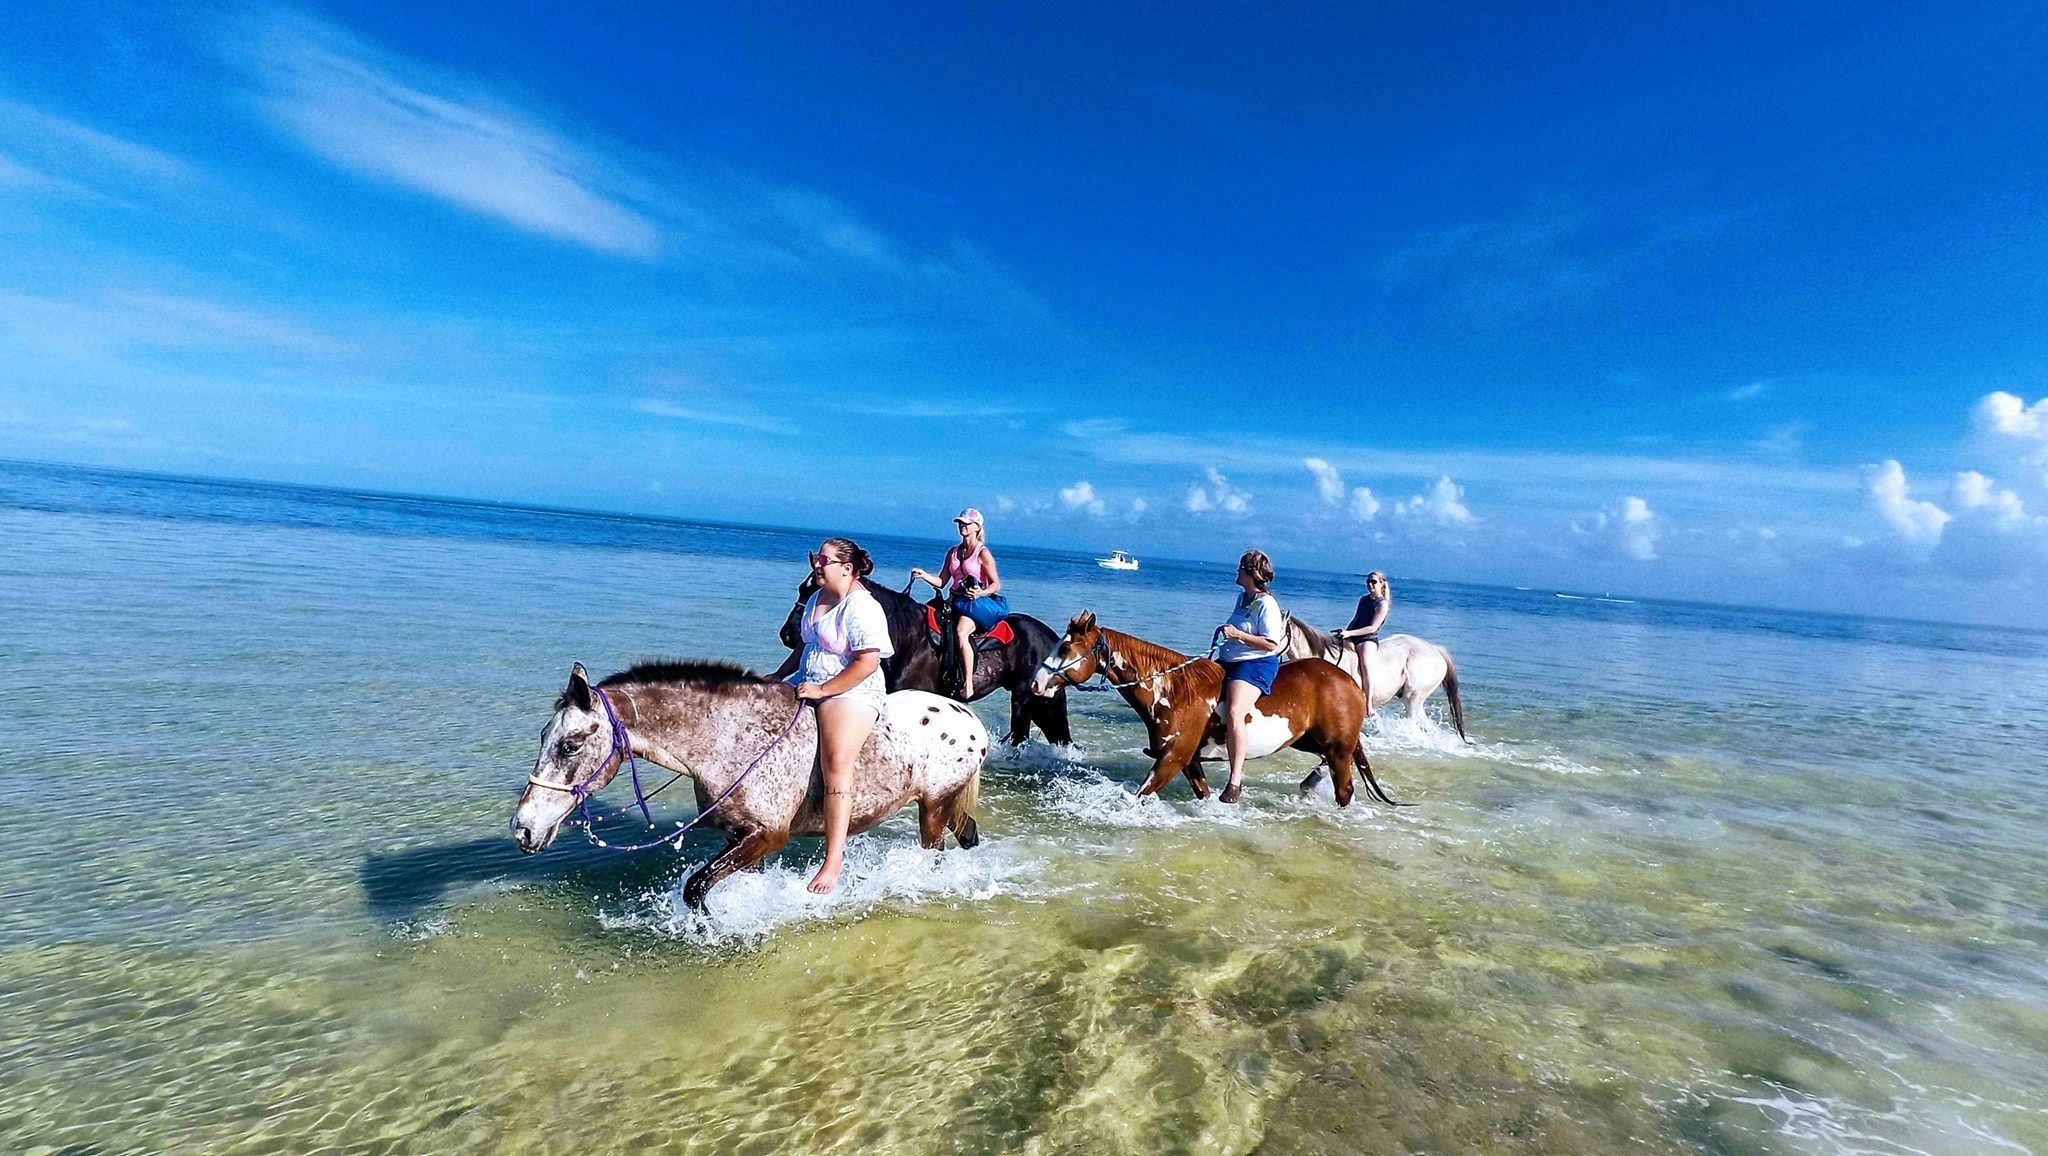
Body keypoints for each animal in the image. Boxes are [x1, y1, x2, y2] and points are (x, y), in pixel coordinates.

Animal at [511, 660, 987, 909]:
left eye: (570, 746)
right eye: (543, 736)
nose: (523, 828)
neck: (732, 738)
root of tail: (969, 719)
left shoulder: (766, 835)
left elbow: (696, 888)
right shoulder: (740, 837)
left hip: (934, 806)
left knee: (935, 853)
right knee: (967, 836)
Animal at [778, 573, 1073, 746]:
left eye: (818, 593)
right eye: (800, 589)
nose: (788, 634)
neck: (907, 638)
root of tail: (1053, 639)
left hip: (1023, 699)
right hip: (1041, 702)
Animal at [1029, 611, 1403, 807]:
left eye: (1066, 648)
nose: (1037, 682)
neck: (1174, 690)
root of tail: (1349, 680)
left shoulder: (1173, 757)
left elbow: (1142, 793)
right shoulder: (1189, 760)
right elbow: (1202, 792)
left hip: (1337, 747)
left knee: (1345, 788)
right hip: (1309, 740)